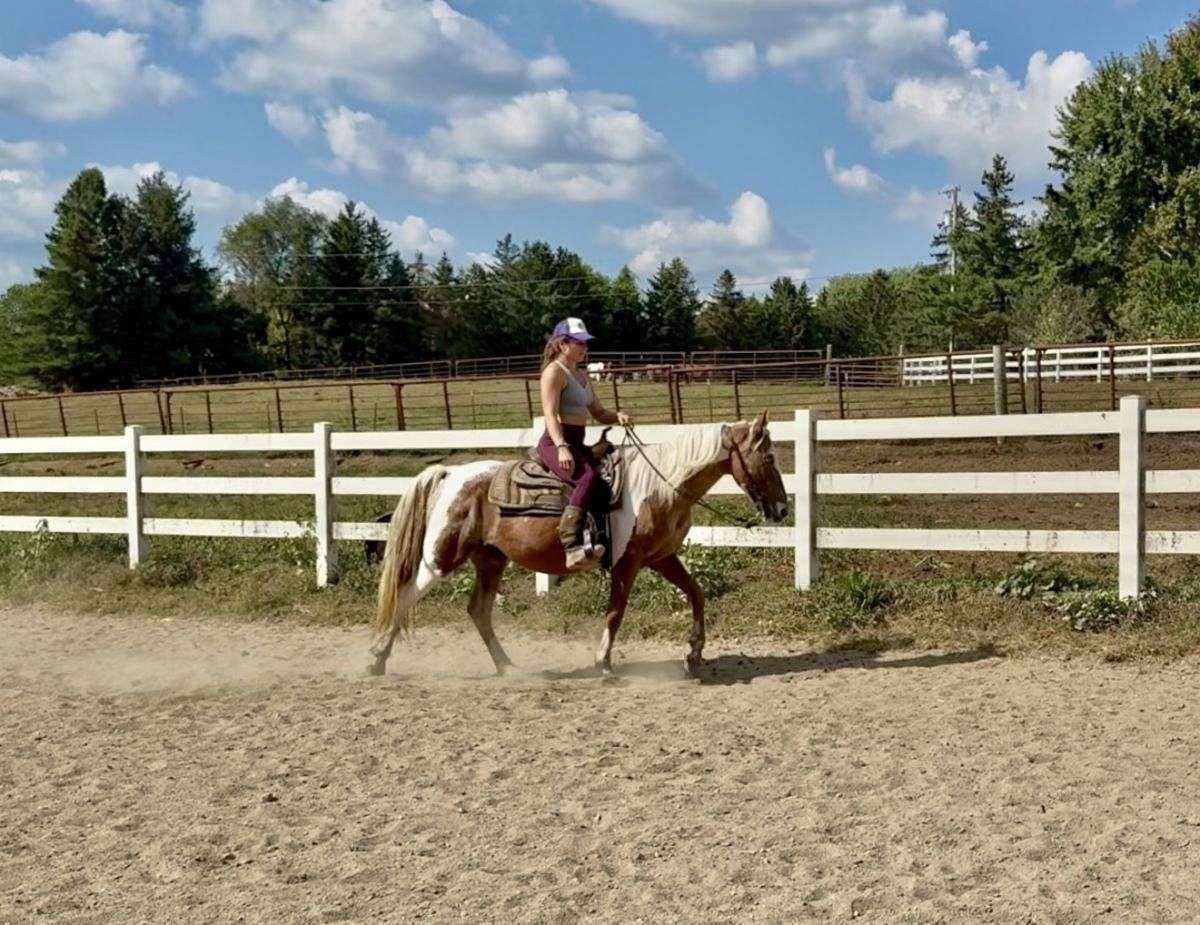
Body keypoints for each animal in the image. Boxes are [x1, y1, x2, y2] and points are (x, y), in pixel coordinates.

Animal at [369, 410, 789, 678]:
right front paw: (603, 662)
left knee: (478, 612)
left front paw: (694, 653)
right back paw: (376, 661)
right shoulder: (626, 563)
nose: (782, 509)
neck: (659, 486)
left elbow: (697, 593)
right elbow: (615, 613)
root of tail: (450, 473)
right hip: (442, 557)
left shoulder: (661, 557)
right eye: (769, 456)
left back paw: (508, 667)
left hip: (490, 560)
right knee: (405, 595)